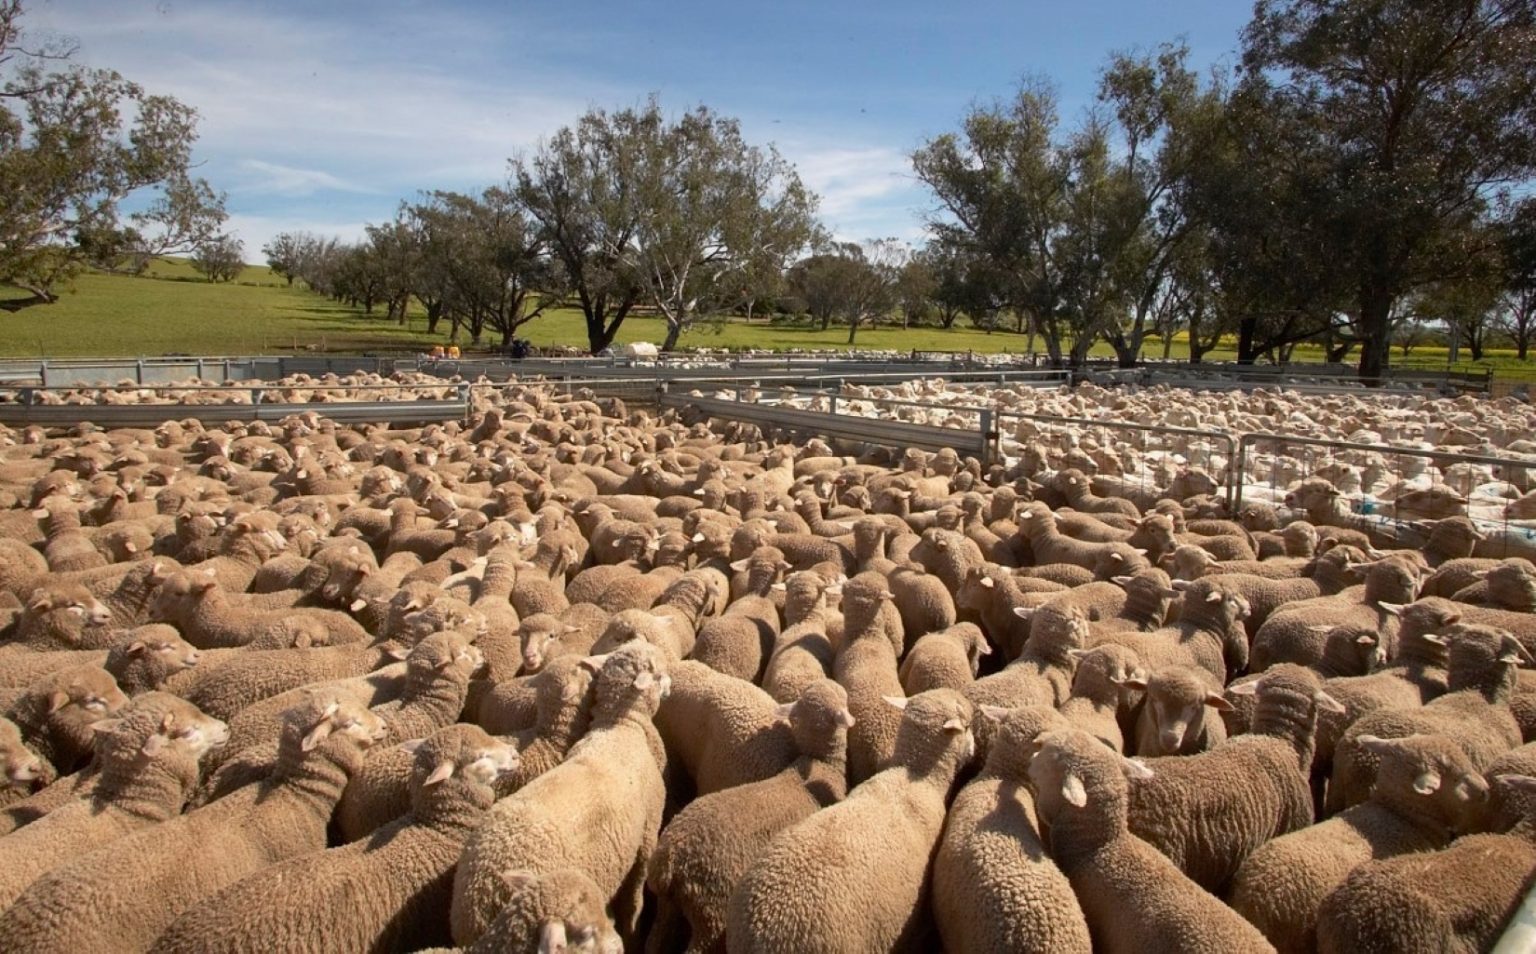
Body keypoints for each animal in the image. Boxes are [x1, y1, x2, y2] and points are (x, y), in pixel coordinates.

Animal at [452, 643, 670, 947]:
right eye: (660, 672)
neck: (618, 728)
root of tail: (479, 898)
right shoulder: (648, 835)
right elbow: (635, 900)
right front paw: (633, 932)